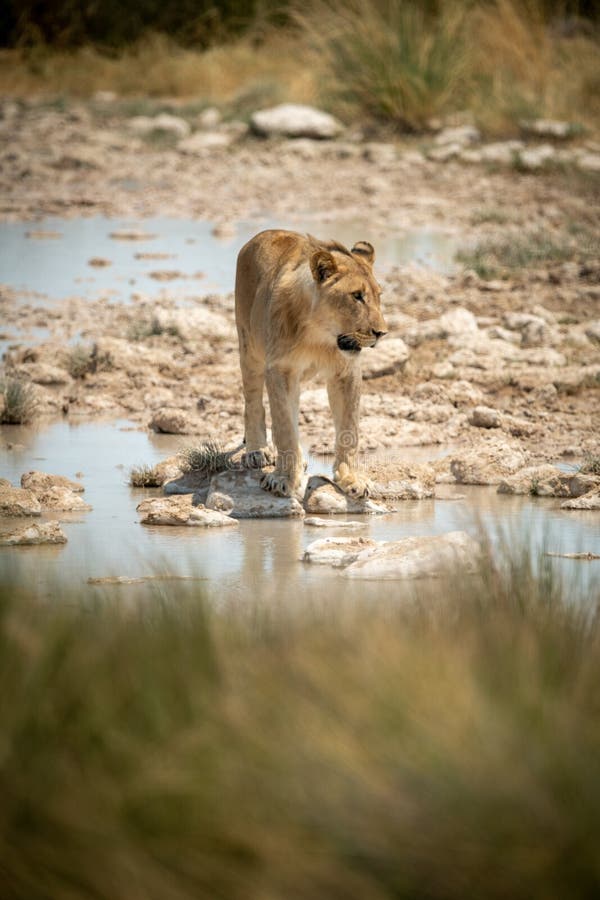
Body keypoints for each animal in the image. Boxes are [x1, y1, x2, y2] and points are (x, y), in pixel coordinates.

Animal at [234, 229, 387, 499]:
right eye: (356, 296)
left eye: (378, 296)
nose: (381, 333)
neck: (318, 335)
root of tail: (260, 236)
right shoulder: (279, 369)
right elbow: (284, 427)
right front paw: (283, 478)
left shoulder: (346, 372)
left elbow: (349, 430)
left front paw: (351, 478)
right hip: (249, 348)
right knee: (253, 402)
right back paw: (257, 450)